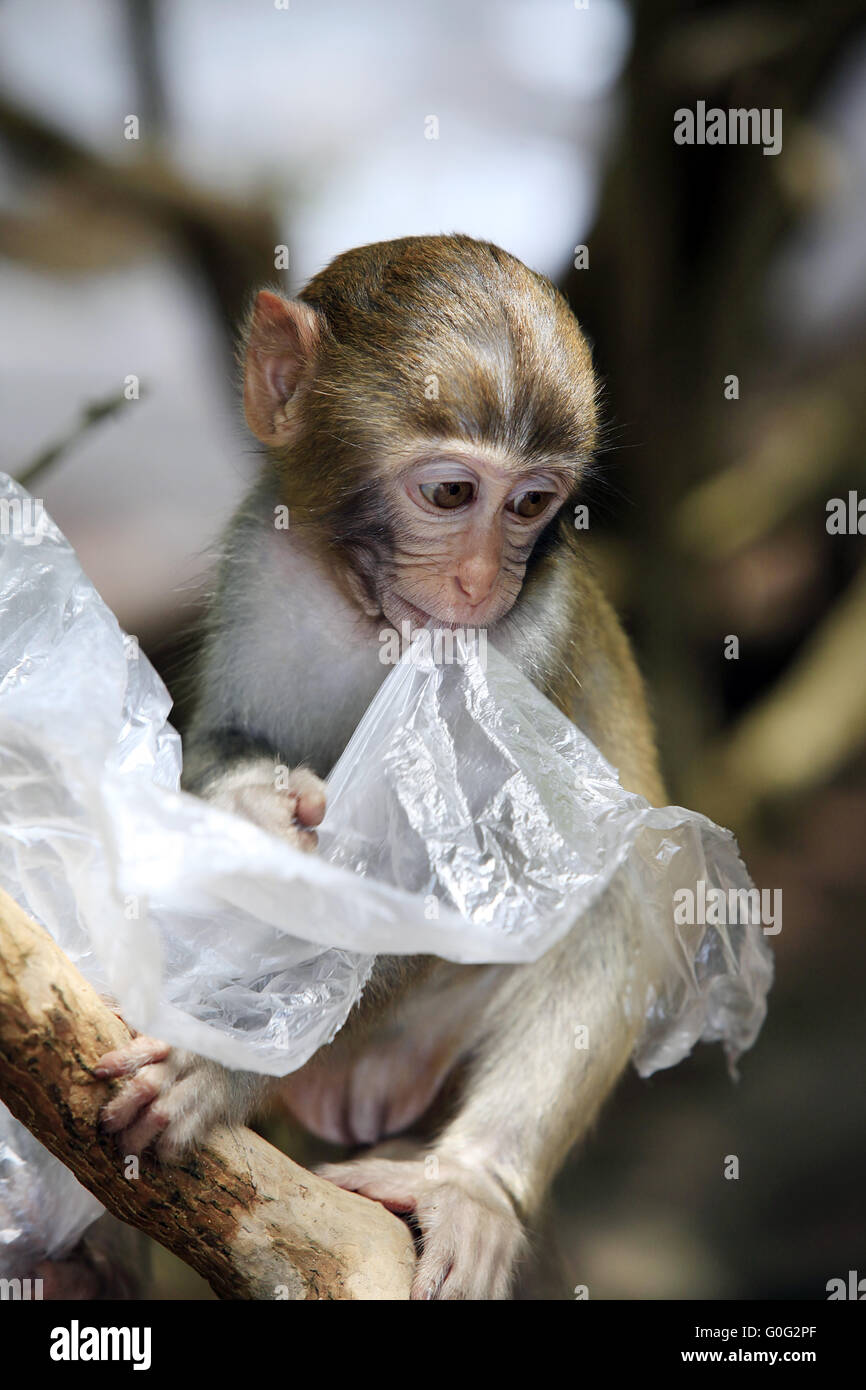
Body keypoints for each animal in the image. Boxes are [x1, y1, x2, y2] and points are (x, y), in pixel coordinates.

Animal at [95, 234, 667, 1301]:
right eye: (451, 494)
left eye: (533, 504)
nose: (481, 583)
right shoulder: (263, 551)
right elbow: (226, 733)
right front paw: (253, 803)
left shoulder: (522, 648)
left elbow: (459, 885)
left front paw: (224, 1070)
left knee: (614, 892)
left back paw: (474, 1186)